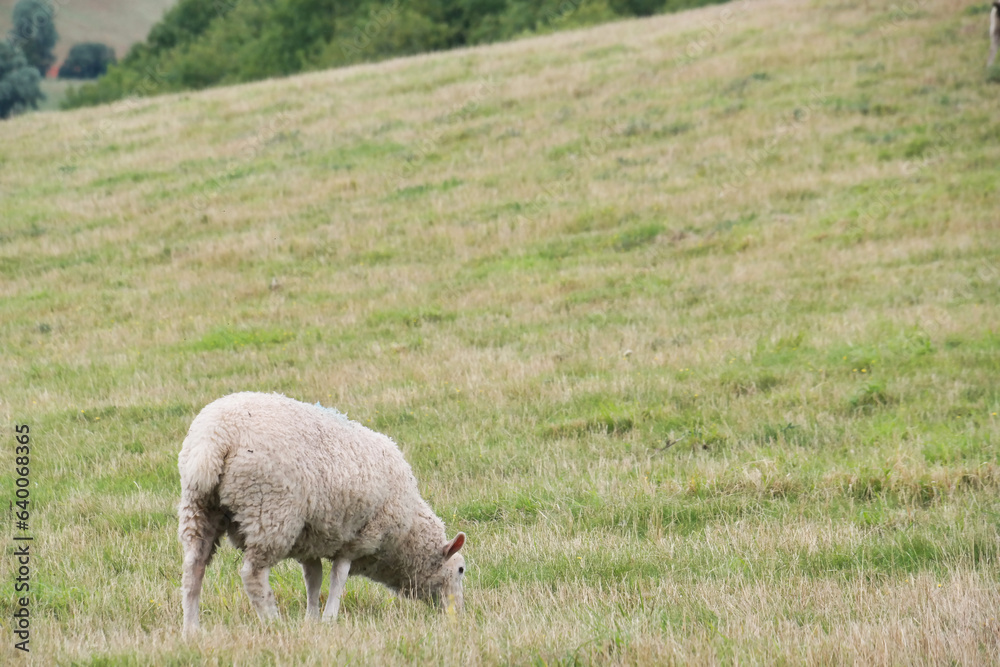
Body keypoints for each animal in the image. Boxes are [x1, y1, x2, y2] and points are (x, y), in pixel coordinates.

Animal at [177, 392, 466, 635]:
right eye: (461, 570)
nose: (458, 614)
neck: (405, 532)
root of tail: (214, 439)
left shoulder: (310, 542)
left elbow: (313, 579)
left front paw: (312, 619)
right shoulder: (357, 539)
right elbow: (338, 577)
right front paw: (329, 618)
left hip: (199, 508)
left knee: (193, 569)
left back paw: (191, 629)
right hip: (269, 511)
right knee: (253, 574)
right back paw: (273, 621)